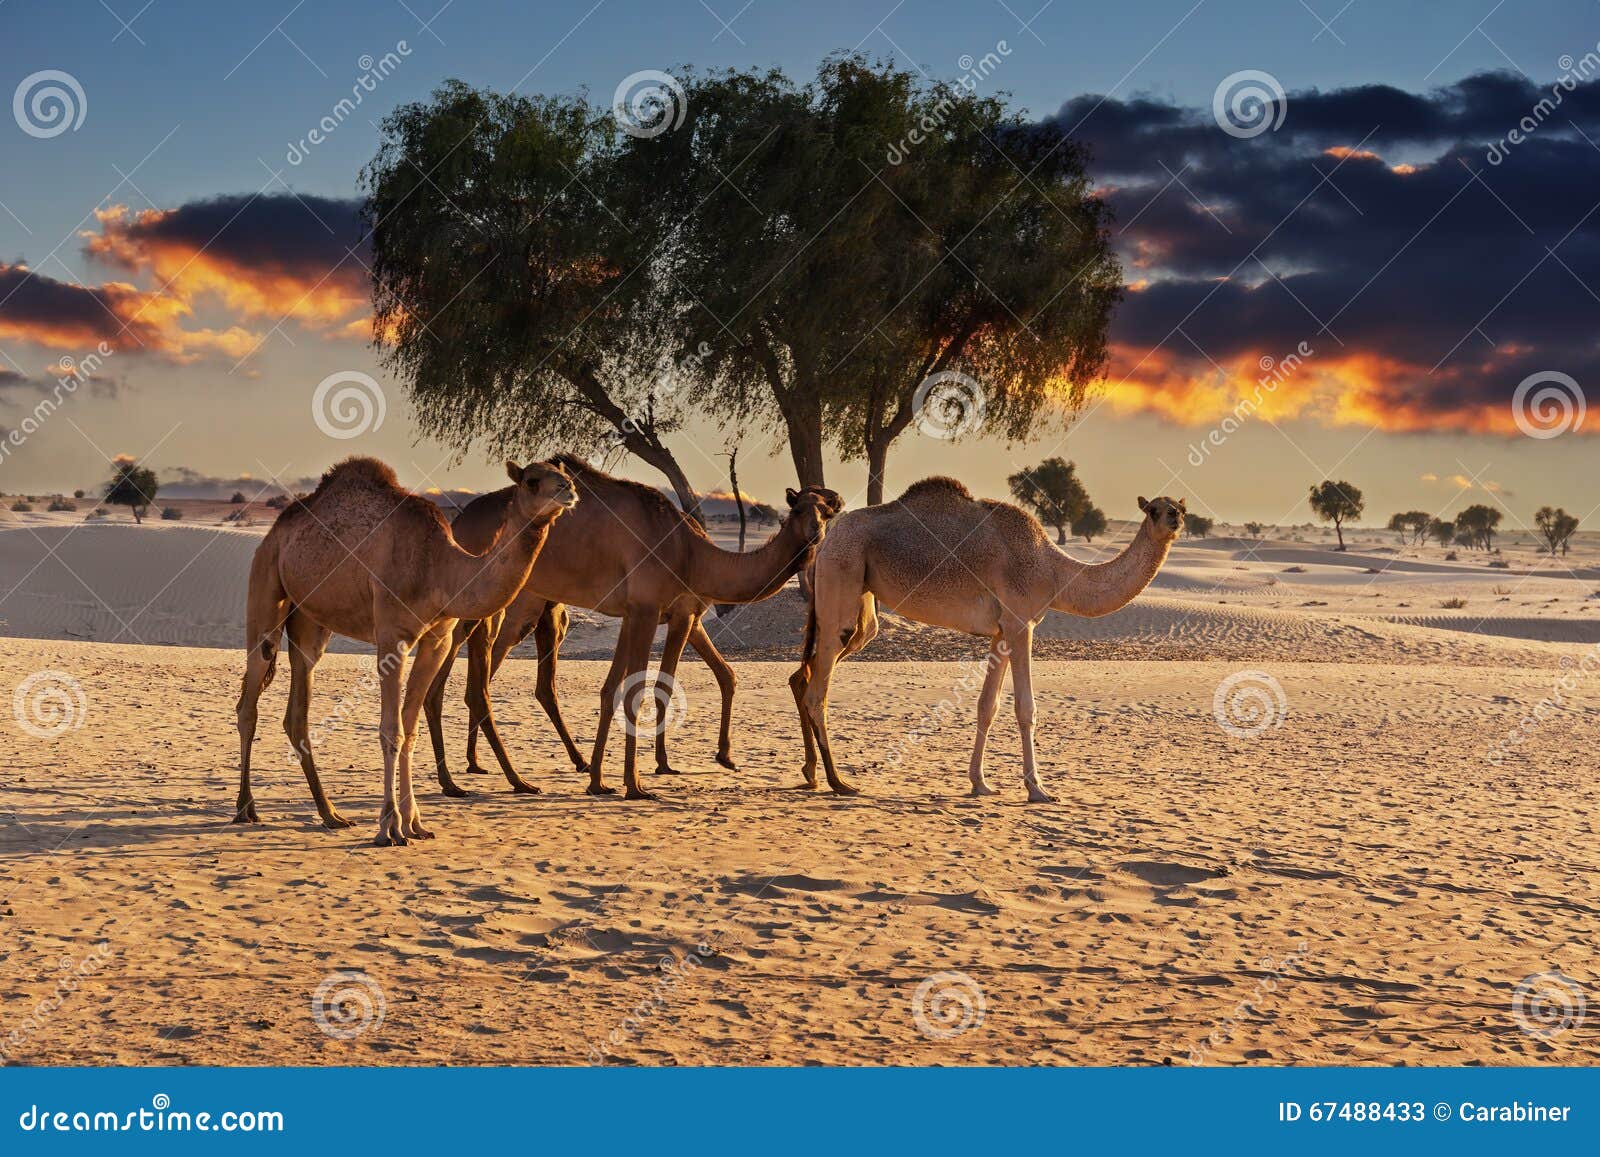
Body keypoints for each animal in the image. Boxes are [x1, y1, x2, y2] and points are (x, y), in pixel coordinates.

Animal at [233, 457, 577, 846]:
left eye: (564, 474)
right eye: (532, 480)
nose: (568, 490)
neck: (438, 567)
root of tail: (275, 532)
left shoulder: (438, 639)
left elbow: (410, 728)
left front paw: (415, 823)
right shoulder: (391, 637)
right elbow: (390, 730)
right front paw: (389, 827)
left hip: (309, 621)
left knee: (298, 704)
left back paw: (330, 814)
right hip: (266, 587)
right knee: (249, 701)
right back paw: (246, 809)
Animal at [422, 456, 842, 801]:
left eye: (826, 511)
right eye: (800, 507)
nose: (818, 531)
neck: (692, 553)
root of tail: (456, 521)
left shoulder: (633, 612)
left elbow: (611, 690)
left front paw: (598, 780)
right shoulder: (650, 608)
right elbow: (639, 692)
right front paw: (636, 784)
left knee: (460, 682)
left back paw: (470, 776)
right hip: (488, 607)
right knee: (473, 682)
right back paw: (494, 777)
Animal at [791, 479, 1183, 801]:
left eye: (1179, 507)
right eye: (1153, 509)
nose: (1175, 519)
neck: (1054, 571)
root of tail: (827, 539)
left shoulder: (1002, 632)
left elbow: (987, 706)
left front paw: (979, 783)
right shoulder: (1021, 623)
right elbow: (1025, 708)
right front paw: (1038, 789)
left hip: (862, 603)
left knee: (806, 673)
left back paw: (812, 774)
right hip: (843, 570)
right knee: (818, 689)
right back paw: (838, 781)